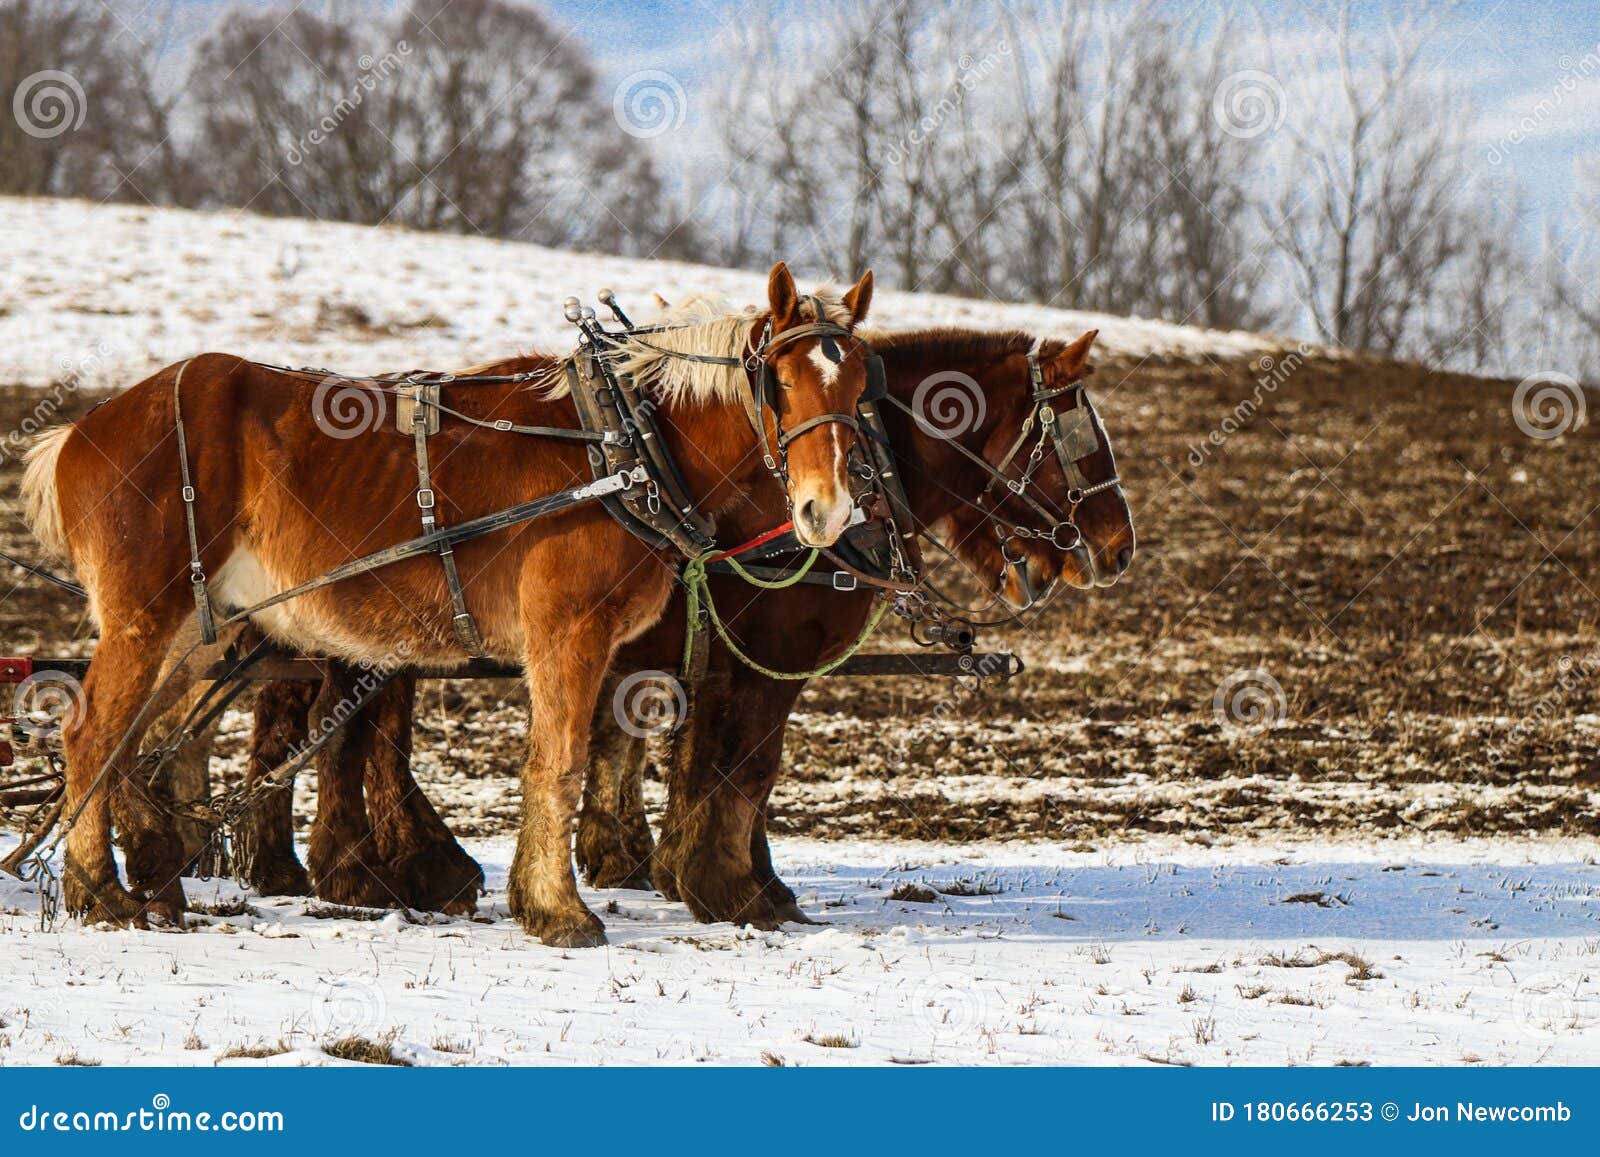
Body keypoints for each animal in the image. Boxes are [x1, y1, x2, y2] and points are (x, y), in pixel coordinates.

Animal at [21, 263, 876, 946]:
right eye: (779, 381)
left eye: (860, 386)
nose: (827, 510)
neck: (623, 445)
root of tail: (82, 431)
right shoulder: (571, 633)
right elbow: (559, 763)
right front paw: (559, 910)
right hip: (147, 615)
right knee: (93, 733)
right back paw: (102, 890)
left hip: (201, 630)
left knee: (137, 743)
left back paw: (149, 876)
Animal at [234, 325, 1133, 929]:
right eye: (1081, 435)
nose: (1120, 548)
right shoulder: (764, 657)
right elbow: (746, 768)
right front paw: (732, 887)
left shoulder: (715, 659)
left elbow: (709, 764)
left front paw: (695, 872)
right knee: (347, 731)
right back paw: (366, 866)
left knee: (317, 725)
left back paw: (304, 862)